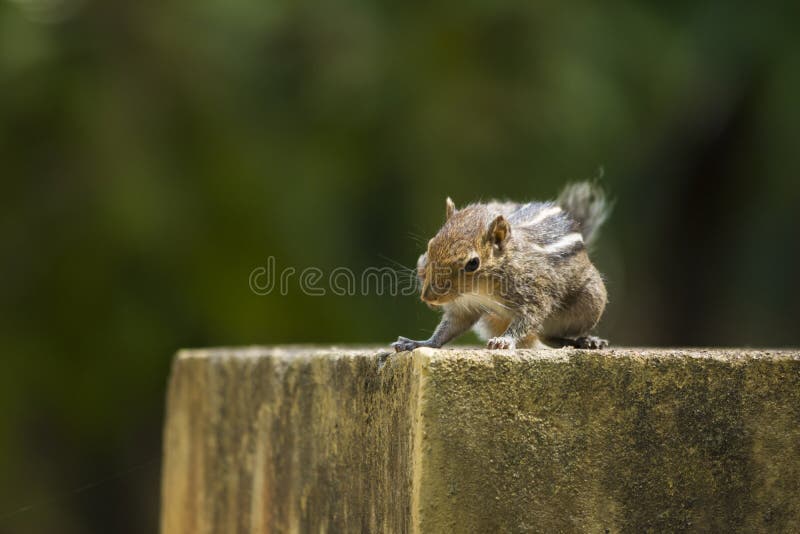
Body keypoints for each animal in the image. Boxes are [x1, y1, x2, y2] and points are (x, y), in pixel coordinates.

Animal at [392, 181, 610, 351]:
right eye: (430, 246)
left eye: (473, 263)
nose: (428, 297)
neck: (482, 289)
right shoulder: (465, 307)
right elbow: (449, 328)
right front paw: (420, 343)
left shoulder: (535, 292)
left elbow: (527, 318)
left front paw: (505, 340)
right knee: (544, 337)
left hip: (591, 302)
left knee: (549, 335)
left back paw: (586, 341)